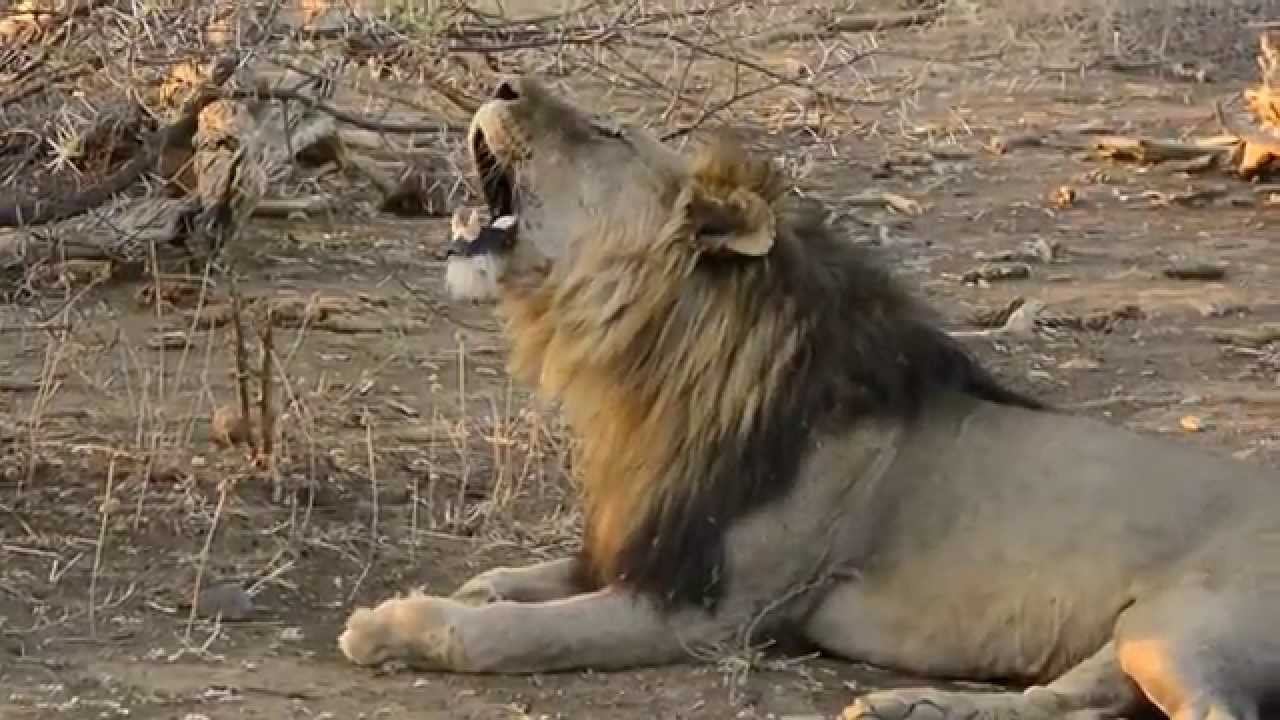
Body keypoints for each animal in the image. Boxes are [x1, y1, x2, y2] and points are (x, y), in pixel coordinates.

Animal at [339, 76, 1280, 720]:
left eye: (605, 130)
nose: (504, 84)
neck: (643, 372)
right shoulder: (642, 546)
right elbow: (512, 583)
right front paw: (470, 589)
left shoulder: (709, 610)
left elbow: (516, 632)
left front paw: (394, 624)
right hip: (1133, 632)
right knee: (1072, 699)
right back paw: (912, 707)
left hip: (1178, 627)